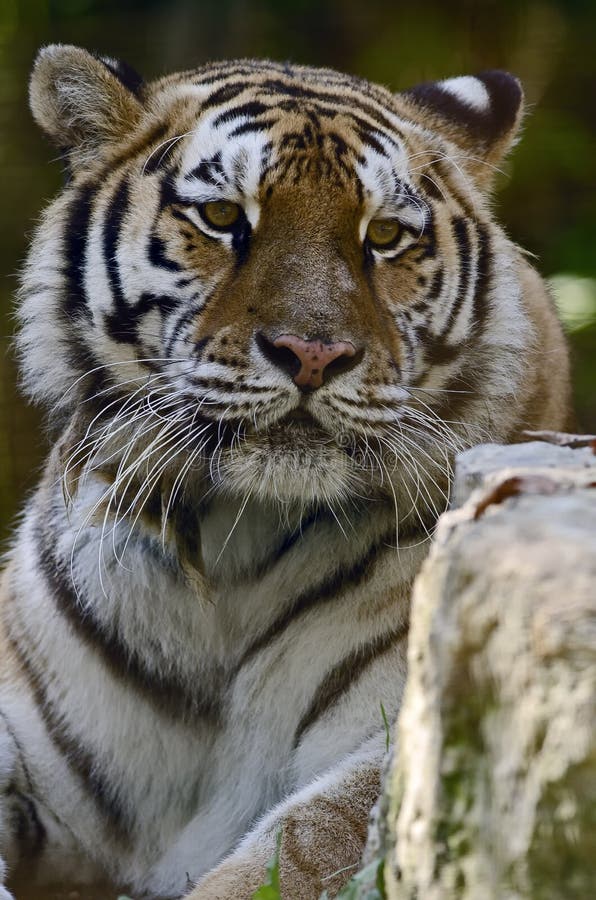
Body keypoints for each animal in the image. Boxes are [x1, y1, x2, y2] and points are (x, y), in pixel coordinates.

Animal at [0, 43, 572, 900]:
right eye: (222, 218)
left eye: (385, 235)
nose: (313, 353)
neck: (229, 548)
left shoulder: (401, 740)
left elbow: (289, 853)